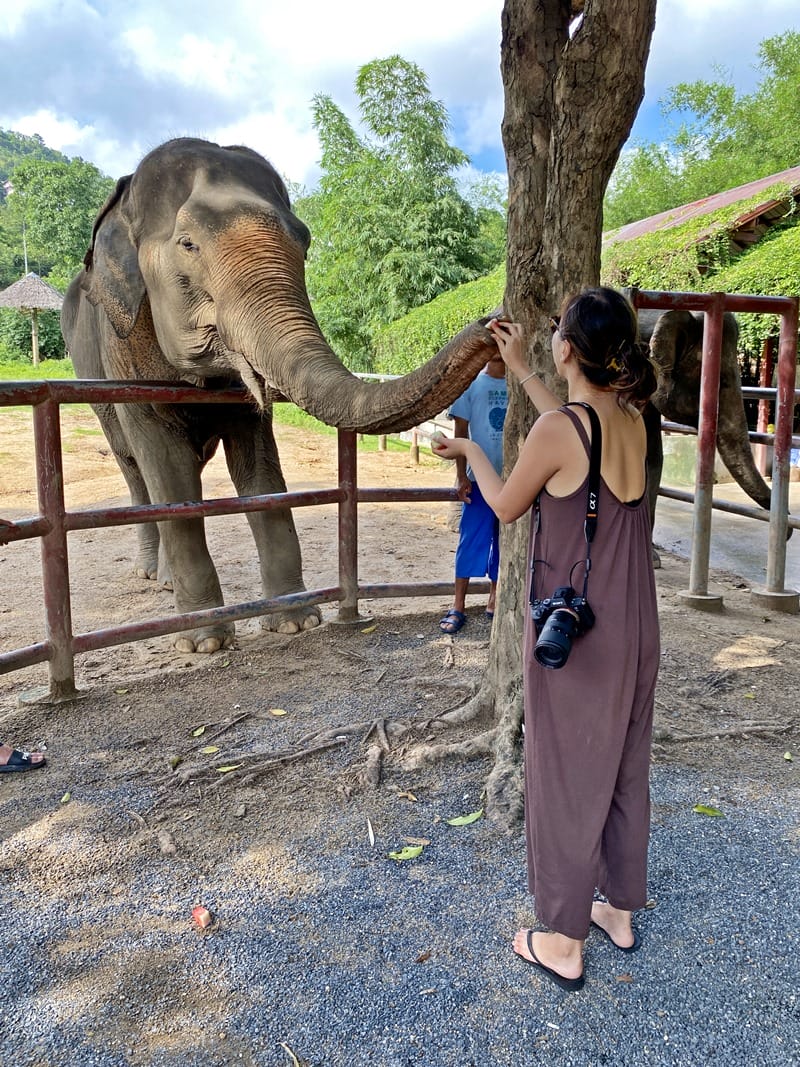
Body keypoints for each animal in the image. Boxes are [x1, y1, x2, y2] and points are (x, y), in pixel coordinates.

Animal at [61, 138, 496, 653]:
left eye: (304, 243)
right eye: (187, 245)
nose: (490, 323)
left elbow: (261, 469)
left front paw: (296, 622)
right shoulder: (123, 351)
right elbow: (168, 474)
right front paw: (205, 643)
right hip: (97, 388)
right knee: (136, 471)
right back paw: (153, 576)